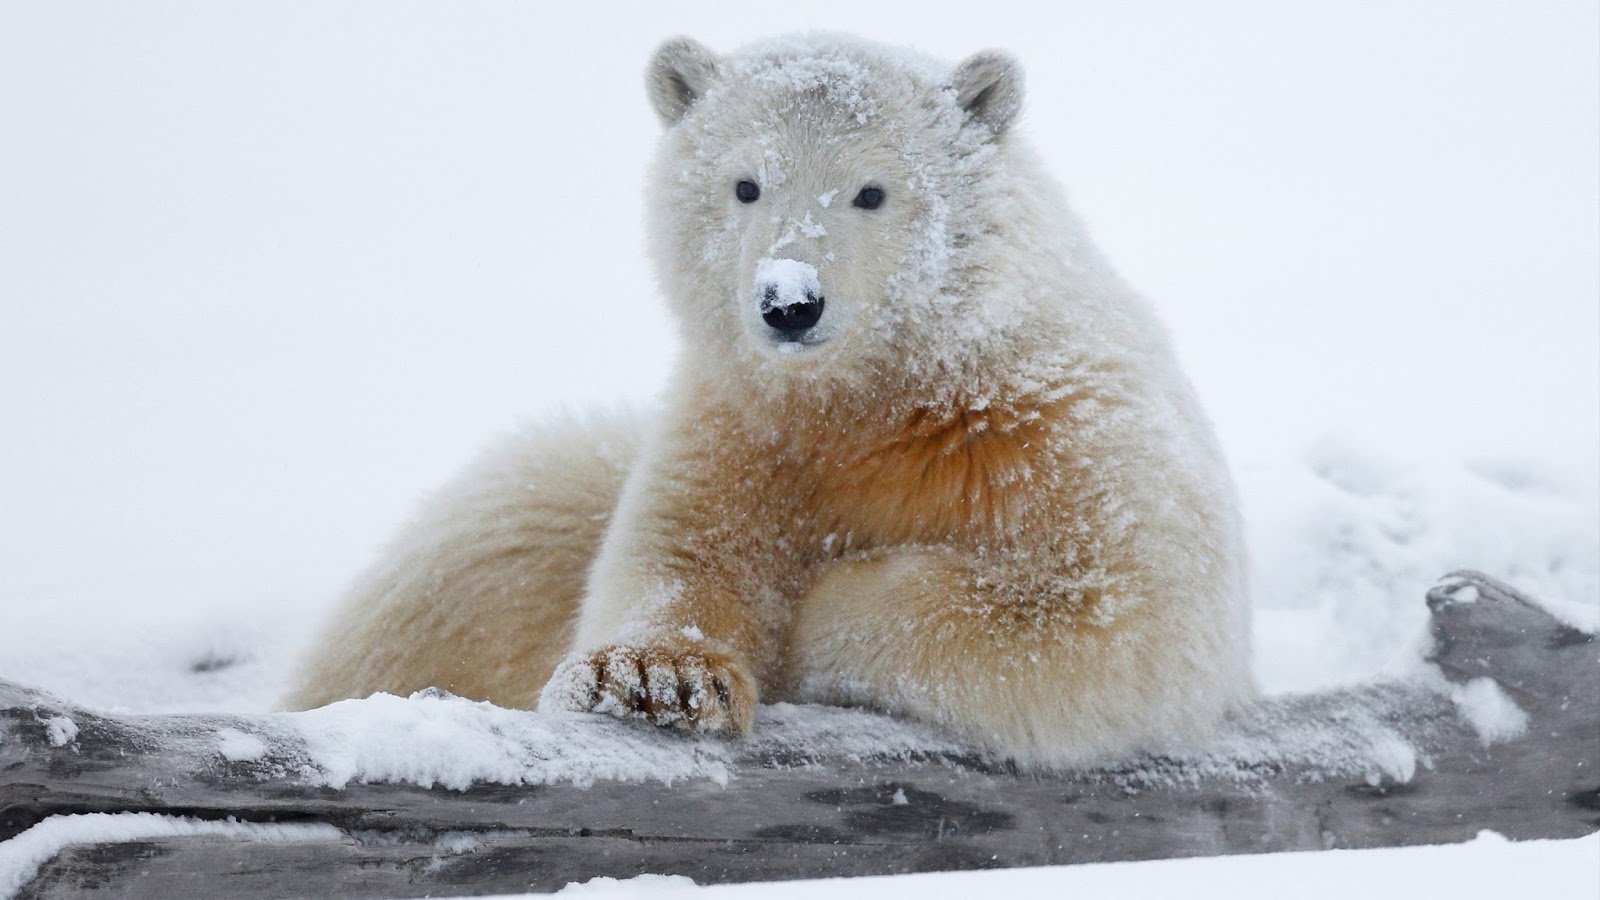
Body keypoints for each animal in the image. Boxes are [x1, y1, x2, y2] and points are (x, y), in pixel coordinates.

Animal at [282, 33, 1253, 770]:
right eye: (745, 184)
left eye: (872, 190)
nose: (790, 303)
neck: (883, 396)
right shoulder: (737, 424)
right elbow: (679, 554)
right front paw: (656, 677)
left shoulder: (1056, 431)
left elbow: (1112, 618)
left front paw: (811, 615)